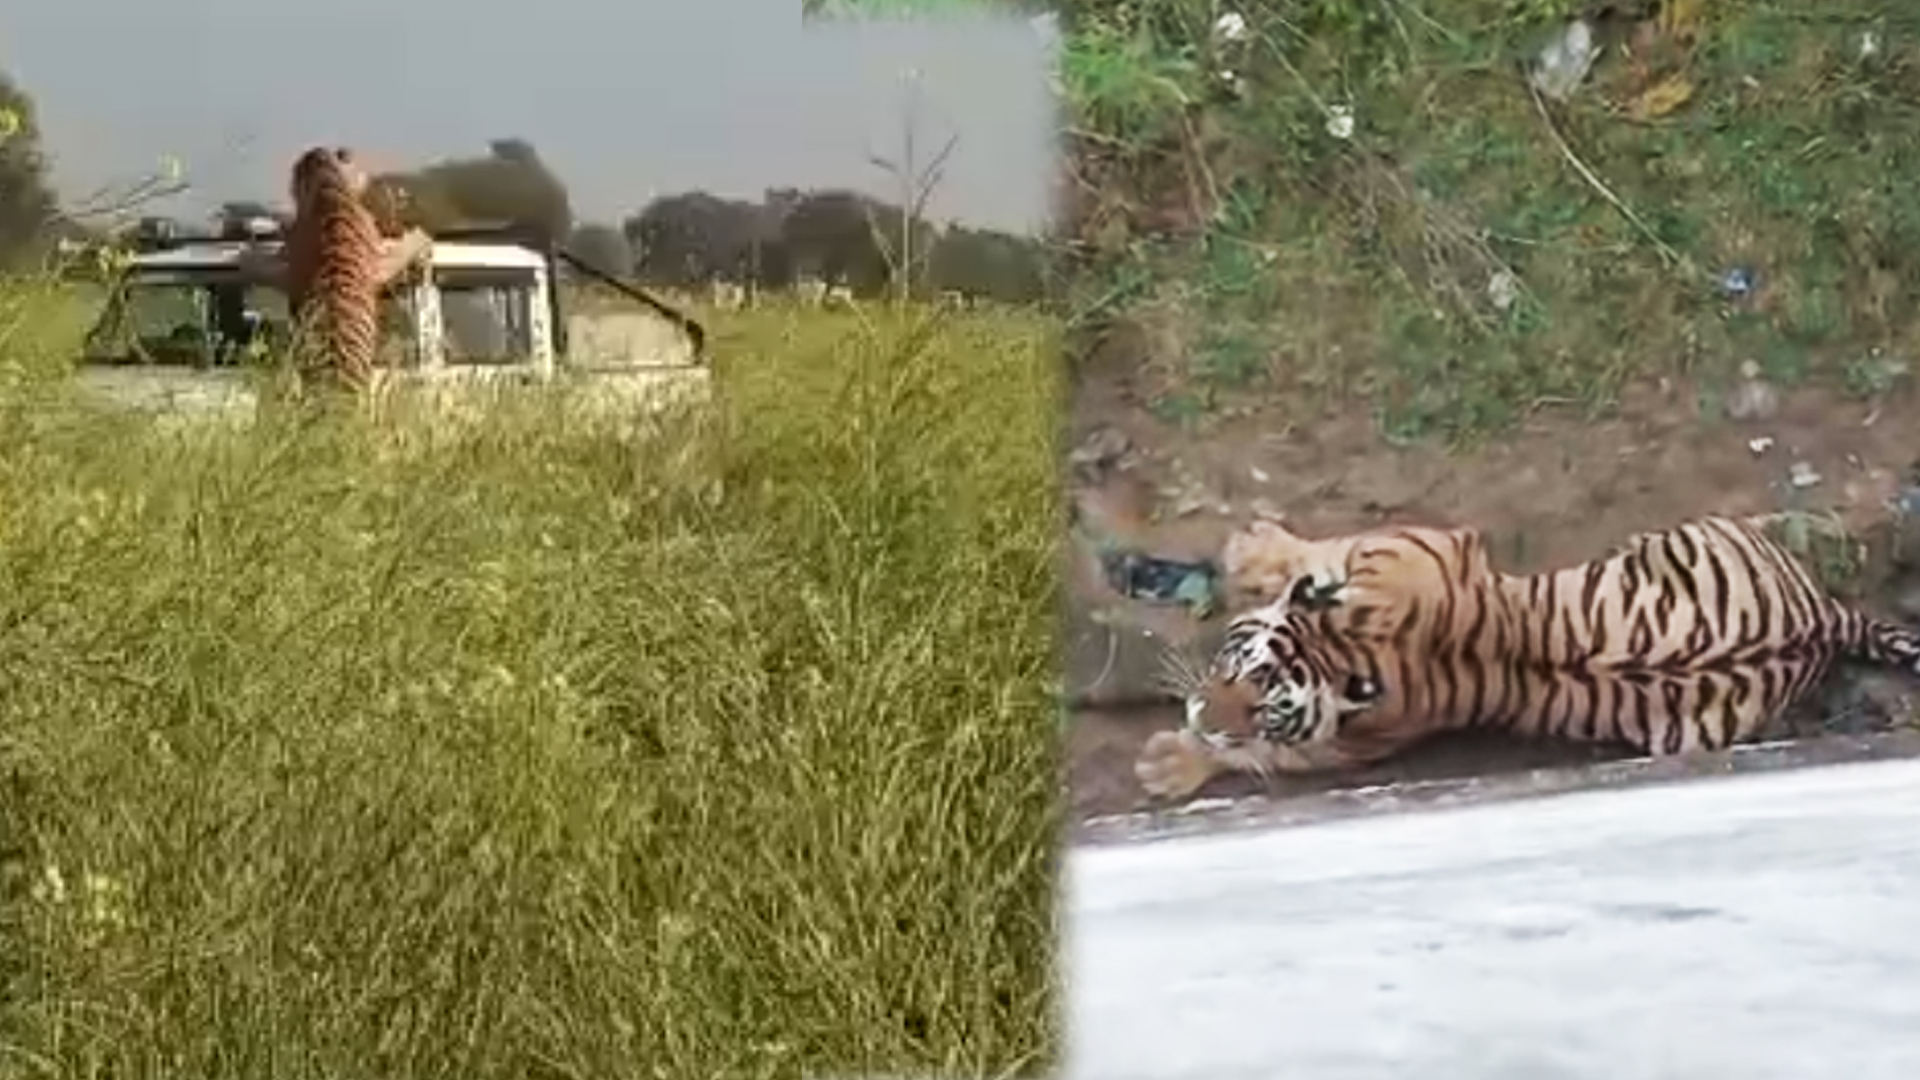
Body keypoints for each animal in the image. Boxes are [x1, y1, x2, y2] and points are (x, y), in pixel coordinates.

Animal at [1135, 514, 1920, 801]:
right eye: (1236, 666)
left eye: (1267, 707)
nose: (1204, 715)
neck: (1352, 644)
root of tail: (1825, 616)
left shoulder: (1347, 746)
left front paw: (1174, 763)